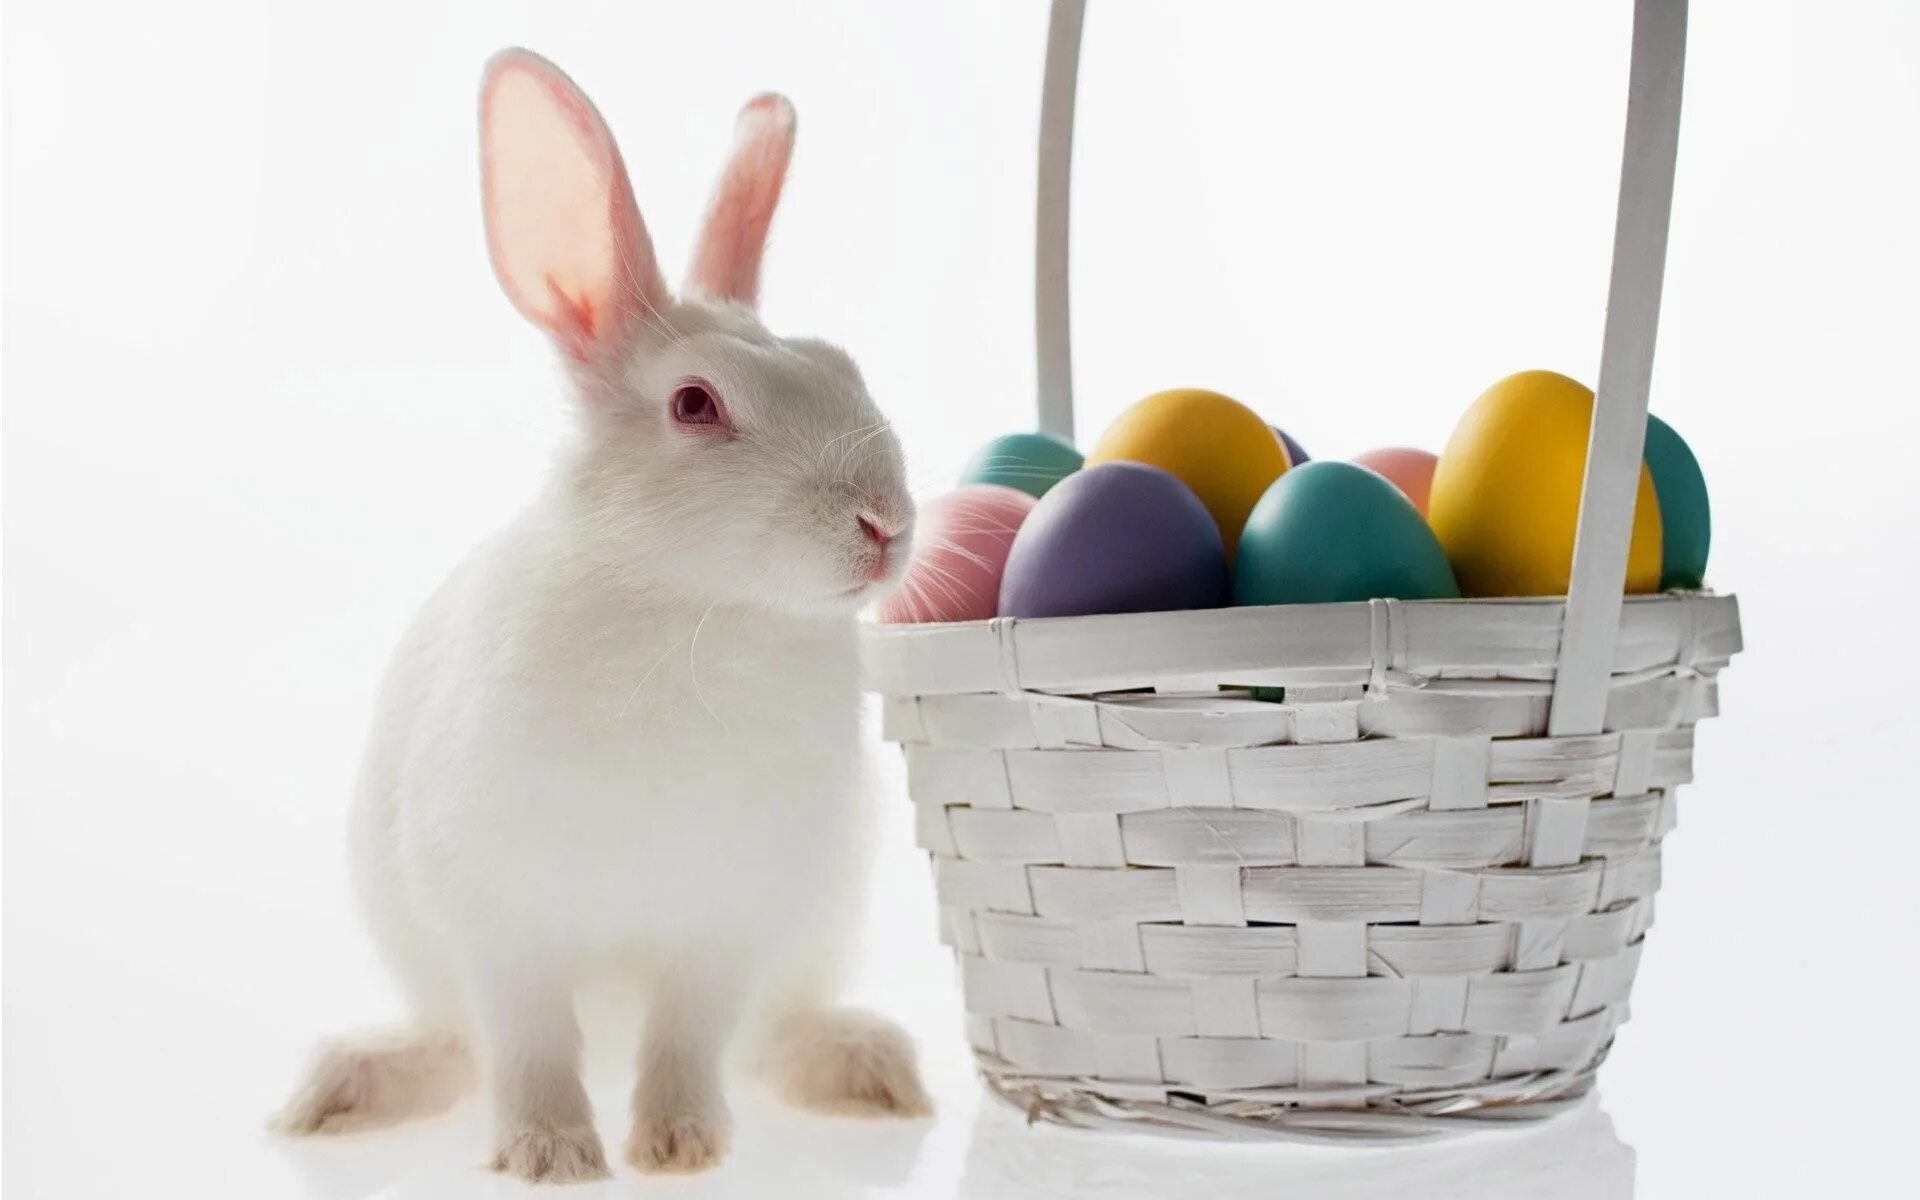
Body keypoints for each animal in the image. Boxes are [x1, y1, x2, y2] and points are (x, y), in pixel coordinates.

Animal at [271, 47, 926, 1182]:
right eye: (696, 404)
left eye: (844, 366)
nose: (885, 523)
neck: (695, 607)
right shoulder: (502, 914)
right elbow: (529, 1038)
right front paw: (550, 1155)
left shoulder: (725, 916)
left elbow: (690, 1034)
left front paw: (678, 1145)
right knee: (460, 1044)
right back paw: (345, 1089)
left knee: (767, 1036)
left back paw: (868, 1070)